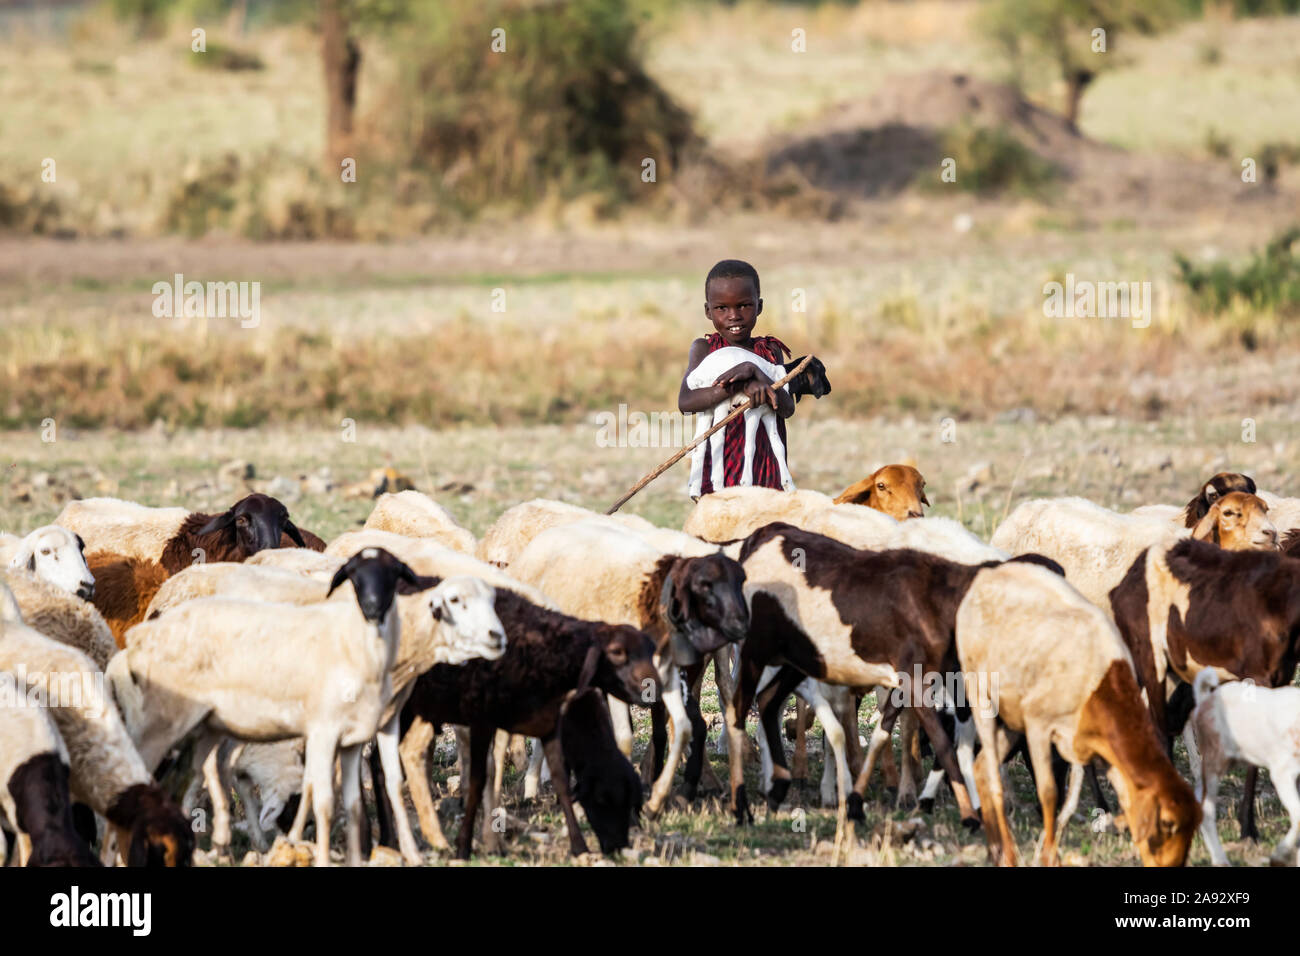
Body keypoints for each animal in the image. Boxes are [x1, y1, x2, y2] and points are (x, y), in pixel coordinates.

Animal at [108, 548, 504, 866]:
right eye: (455, 601)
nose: (496, 637)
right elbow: (324, 780)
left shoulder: (383, 718)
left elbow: (389, 779)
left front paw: (402, 847)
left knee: (212, 765)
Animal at [684, 347, 831, 496]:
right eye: (822, 370)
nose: (829, 388)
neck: (781, 376)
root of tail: (696, 375)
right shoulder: (752, 410)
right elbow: (750, 445)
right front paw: (746, 482)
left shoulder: (769, 414)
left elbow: (778, 446)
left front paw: (788, 484)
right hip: (720, 399)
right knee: (716, 437)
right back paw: (718, 483)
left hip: (705, 408)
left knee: (699, 440)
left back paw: (695, 489)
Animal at [956, 559, 1199, 866]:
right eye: (1168, 825)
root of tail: (988, 575)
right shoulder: (1038, 727)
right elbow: (1049, 793)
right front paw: (1048, 856)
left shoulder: (1101, 747)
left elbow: (1114, 800)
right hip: (980, 694)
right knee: (991, 774)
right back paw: (1008, 854)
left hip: (1010, 720)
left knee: (980, 770)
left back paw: (996, 851)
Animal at [1187, 669, 1300, 866]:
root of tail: (1204, 701)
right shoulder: (1282, 772)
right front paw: (1280, 856)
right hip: (1215, 763)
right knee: (1207, 809)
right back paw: (1220, 860)